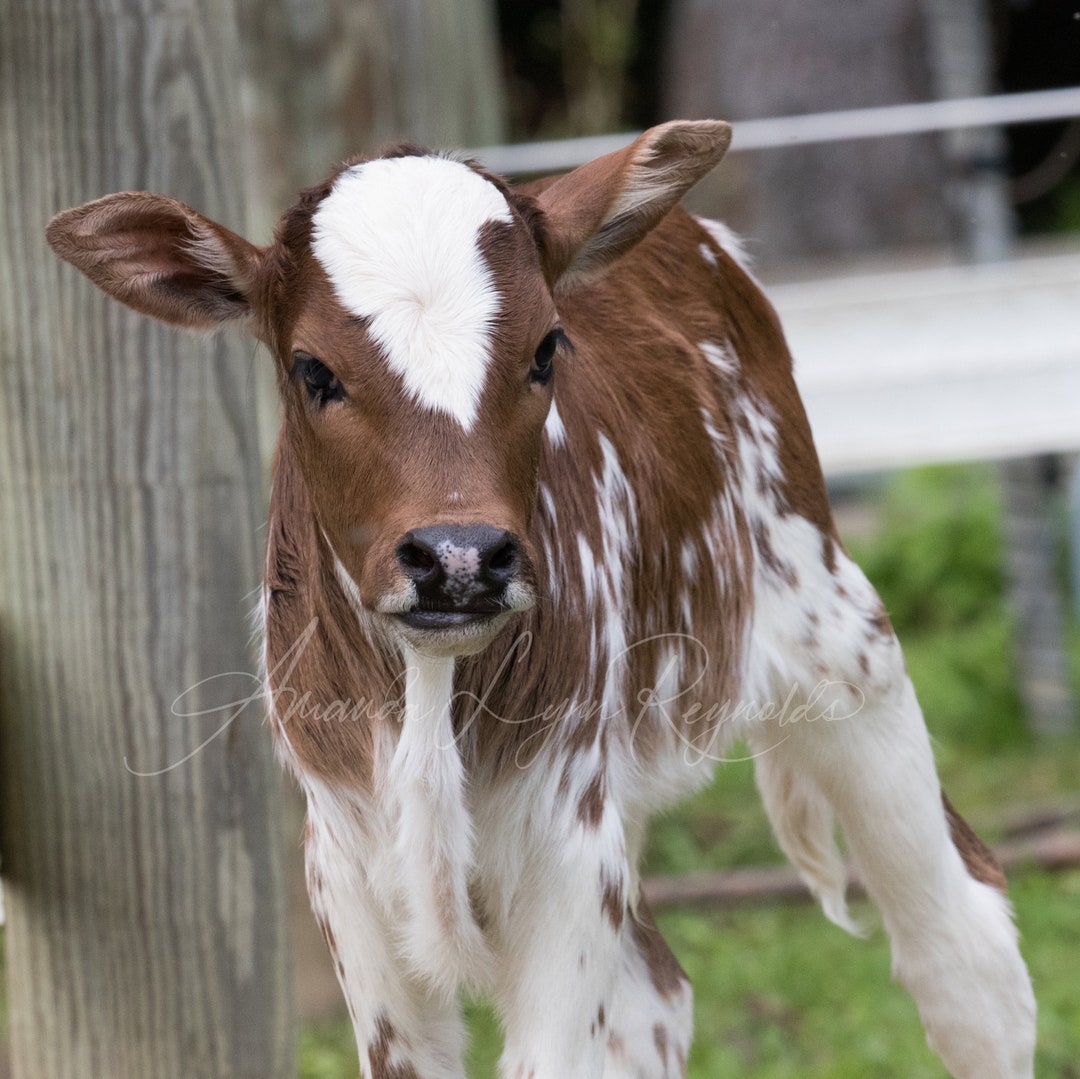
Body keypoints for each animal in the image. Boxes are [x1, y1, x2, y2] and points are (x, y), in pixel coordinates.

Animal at [47, 120, 1035, 1078]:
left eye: (545, 350)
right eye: (311, 369)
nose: (458, 557)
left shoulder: (568, 847)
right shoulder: (348, 870)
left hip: (841, 646)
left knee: (965, 954)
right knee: (655, 999)